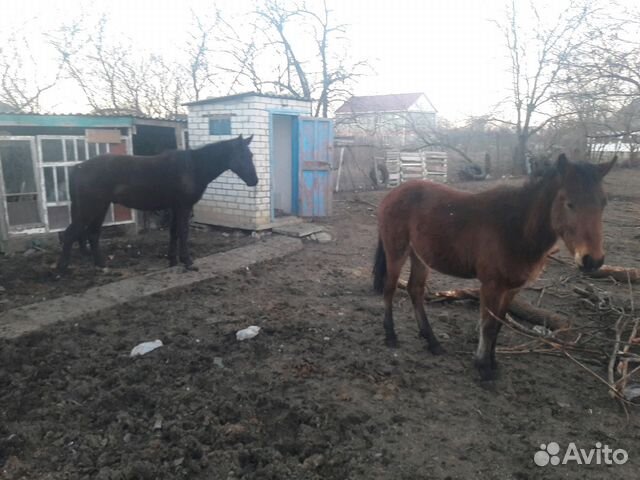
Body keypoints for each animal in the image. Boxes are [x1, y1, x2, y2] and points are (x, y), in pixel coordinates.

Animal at [57, 135, 257, 273]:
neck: (193, 166)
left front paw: (173, 261)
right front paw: (188, 262)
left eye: (251, 155)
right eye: (242, 156)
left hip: (100, 207)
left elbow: (174, 232)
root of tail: (78, 168)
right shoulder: (184, 207)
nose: (254, 180)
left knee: (92, 234)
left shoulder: (175, 207)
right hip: (90, 208)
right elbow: (183, 232)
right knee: (70, 234)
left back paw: (101, 265)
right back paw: (62, 270)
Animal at [373, 153, 616, 380]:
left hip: (420, 257)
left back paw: (432, 342)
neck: (516, 229)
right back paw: (391, 336)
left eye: (603, 202)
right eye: (569, 203)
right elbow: (487, 325)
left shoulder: (512, 288)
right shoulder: (491, 285)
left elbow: (498, 325)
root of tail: (393, 193)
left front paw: (492, 362)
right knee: (389, 289)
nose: (592, 260)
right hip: (397, 252)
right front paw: (483, 367)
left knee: (415, 290)